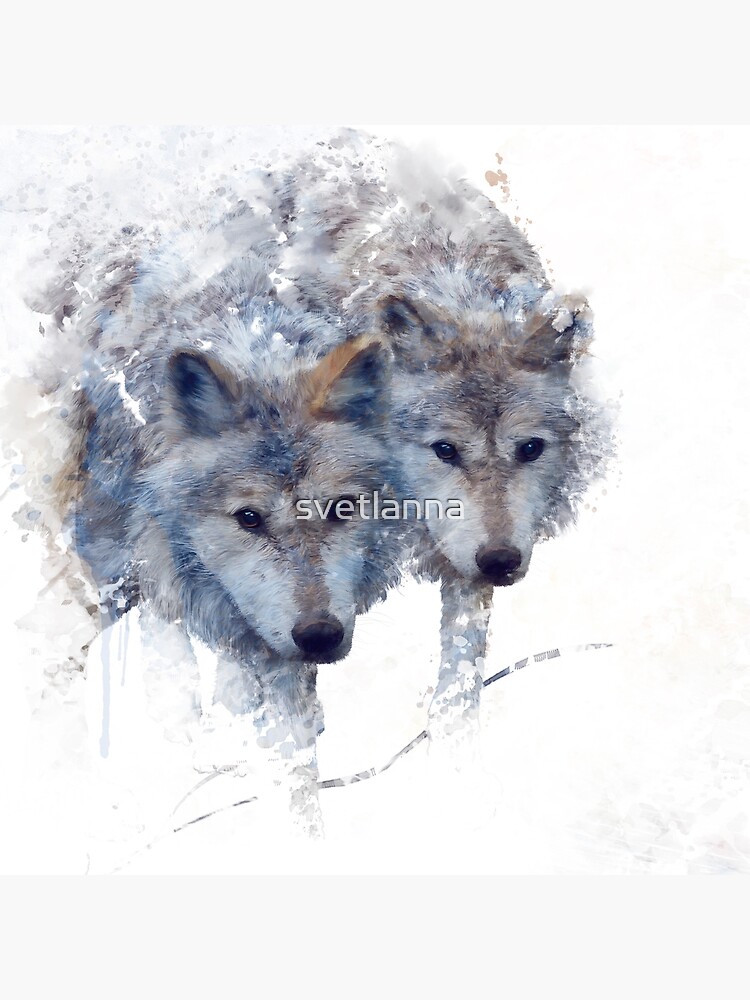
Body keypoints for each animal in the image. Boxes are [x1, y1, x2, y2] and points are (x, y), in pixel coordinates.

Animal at [26, 200, 409, 832]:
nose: (320, 637)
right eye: (248, 518)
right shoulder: (126, 570)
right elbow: (167, 675)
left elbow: (289, 746)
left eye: (341, 508)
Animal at [263, 130, 608, 743]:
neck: (450, 278)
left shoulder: (462, 556)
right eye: (444, 450)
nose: (500, 561)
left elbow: (460, 673)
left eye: (530, 449)